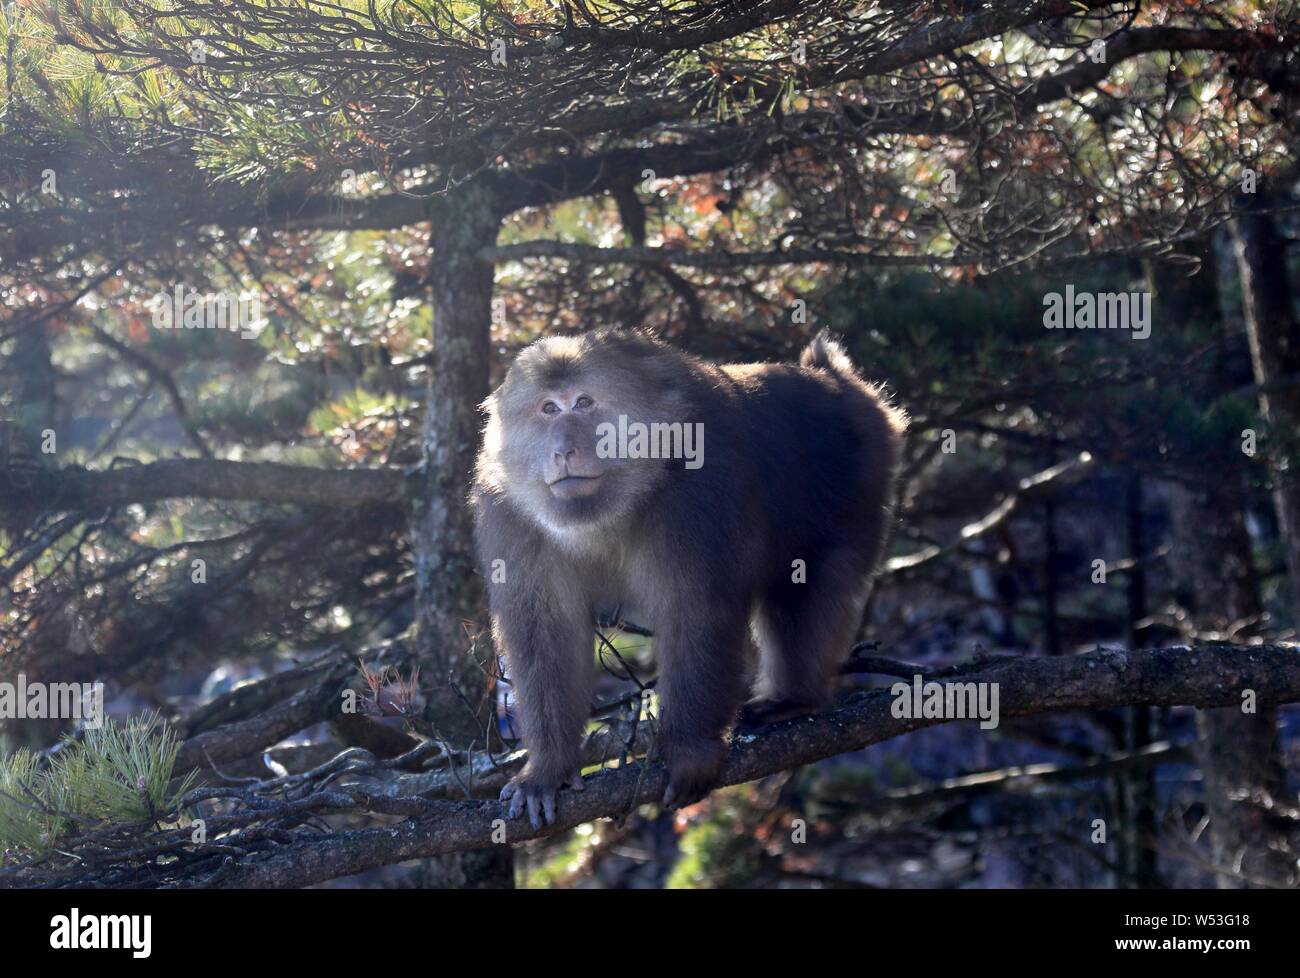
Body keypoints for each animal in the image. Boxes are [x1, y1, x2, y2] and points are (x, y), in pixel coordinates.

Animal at [472, 328, 907, 828]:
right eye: (547, 409)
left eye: (582, 402)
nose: (561, 450)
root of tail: (834, 378)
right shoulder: (510, 516)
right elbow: (545, 635)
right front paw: (548, 768)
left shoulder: (701, 491)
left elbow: (697, 613)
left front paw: (689, 752)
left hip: (859, 479)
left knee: (808, 589)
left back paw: (796, 699)